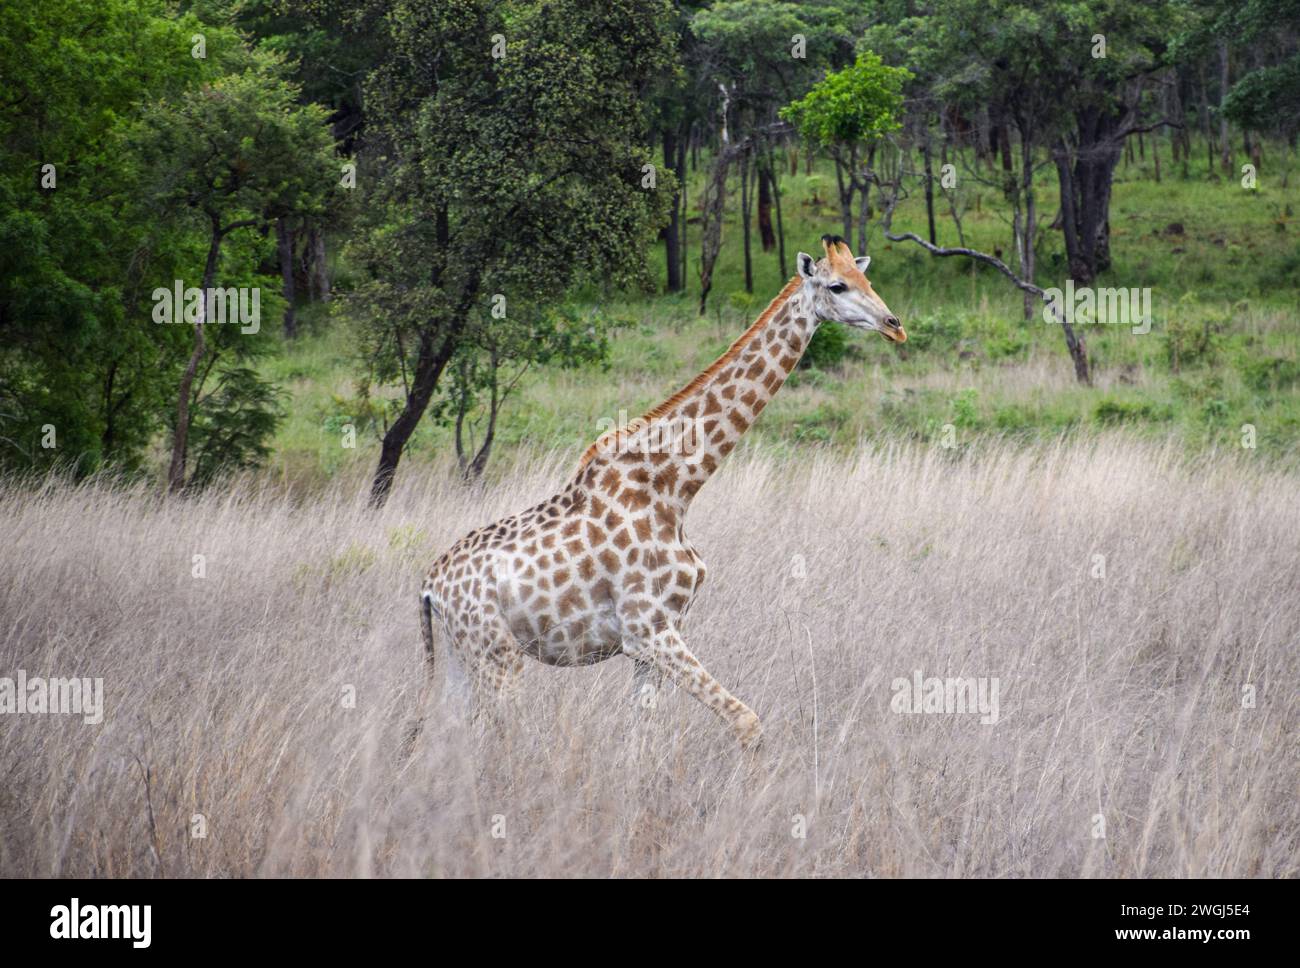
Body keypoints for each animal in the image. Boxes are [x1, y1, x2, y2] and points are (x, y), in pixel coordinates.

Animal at [418, 236, 904, 746]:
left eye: (867, 278)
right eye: (837, 285)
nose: (895, 326)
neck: (676, 486)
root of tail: (429, 587)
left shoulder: (654, 639)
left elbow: (642, 738)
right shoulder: (647, 629)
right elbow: (746, 720)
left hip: (462, 655)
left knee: (445, 736)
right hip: (498, 654)